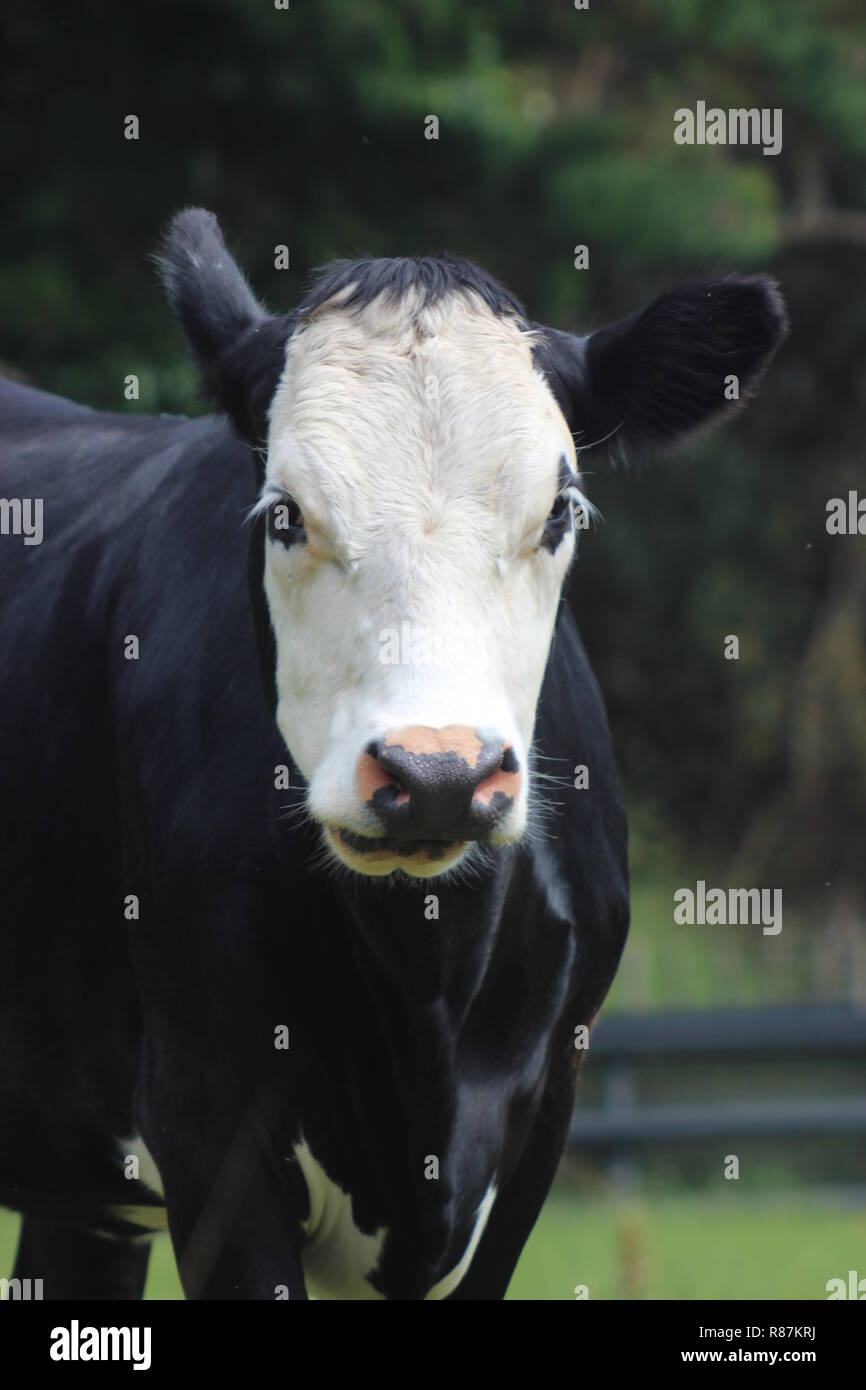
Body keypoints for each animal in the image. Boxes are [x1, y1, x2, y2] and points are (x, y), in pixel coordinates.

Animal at [0, 210, 786, 1299]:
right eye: (285, 513)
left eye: (558, 512)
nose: (436, 775)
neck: (424, 992)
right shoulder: (202, 1104)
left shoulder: (538, 1122)